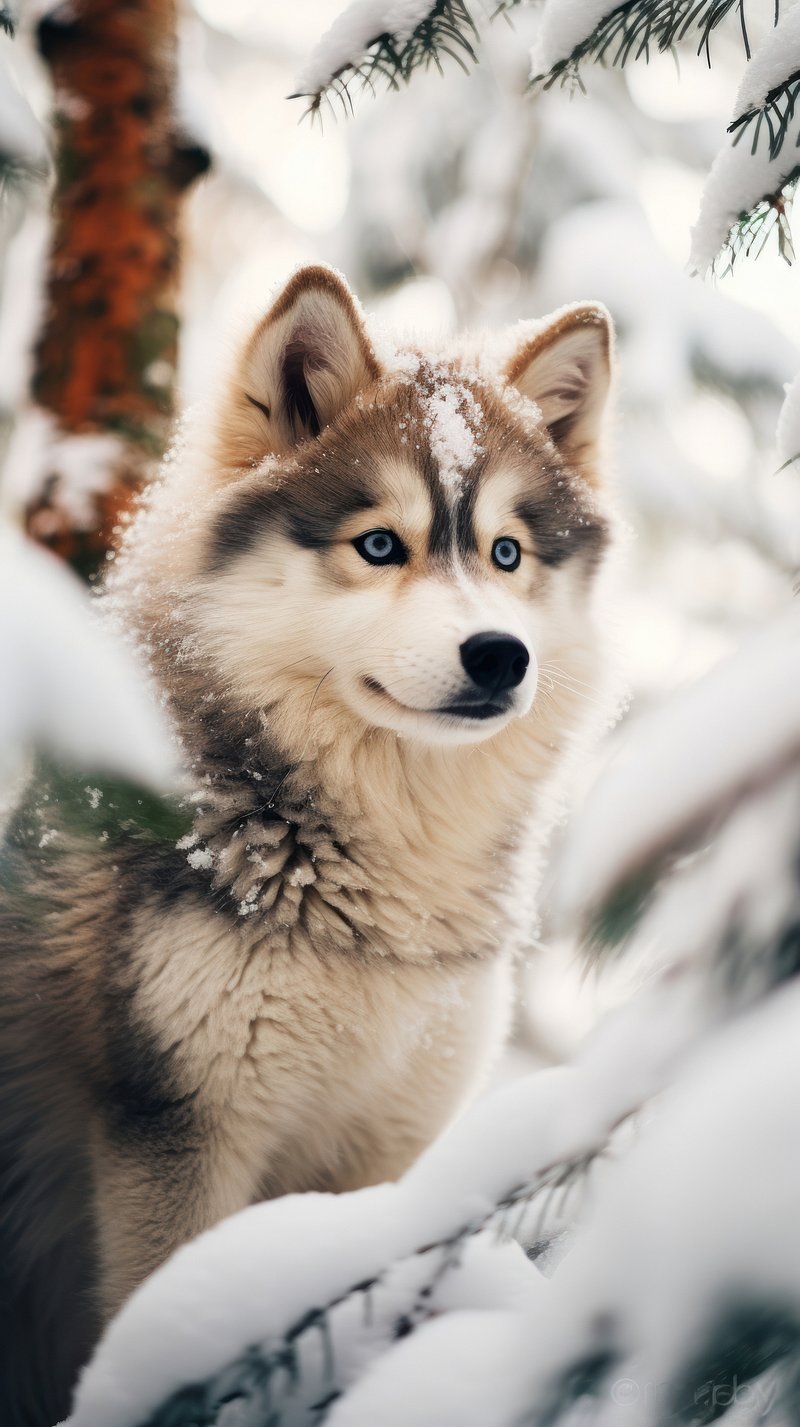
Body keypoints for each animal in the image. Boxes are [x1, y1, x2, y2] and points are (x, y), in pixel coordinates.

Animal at [0, 265, 615, 1423]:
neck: (377, 894)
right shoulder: (179, 1138)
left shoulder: (383, 1153)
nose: (499, 655)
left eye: (506, 552)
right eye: (378, 543)